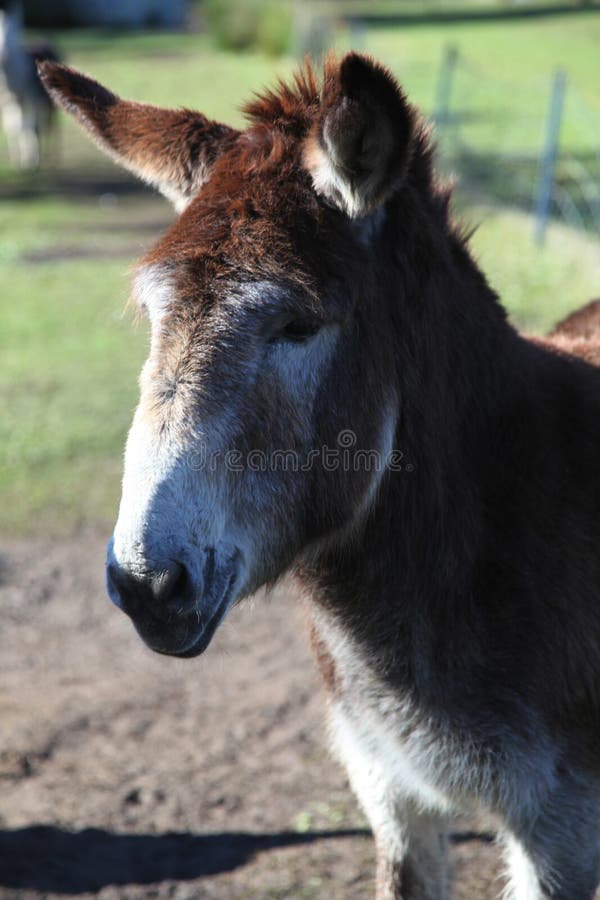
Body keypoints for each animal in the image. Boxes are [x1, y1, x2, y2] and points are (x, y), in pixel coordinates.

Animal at [0, 0, 58, 169]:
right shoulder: (7, 101)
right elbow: (14, 128)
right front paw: (18, 162)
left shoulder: (32, 96)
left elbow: (33, 127)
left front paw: (33, 161)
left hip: (47, 98)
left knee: (50, 124)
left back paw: (52, 157)